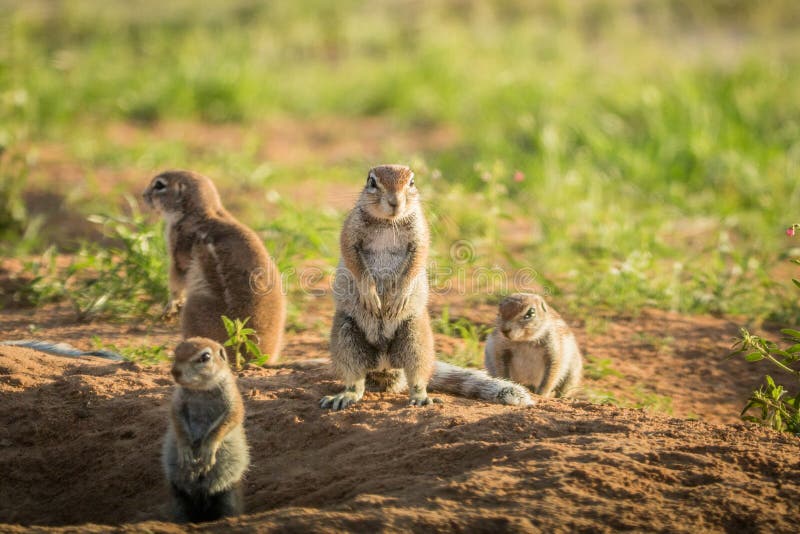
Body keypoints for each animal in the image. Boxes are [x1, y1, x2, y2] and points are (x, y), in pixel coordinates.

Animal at [143, 170, 286, 364]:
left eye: (159, 185)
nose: (143, 196)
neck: (202, 212)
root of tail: (249, 355)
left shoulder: (177, 246)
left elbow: (176, 280)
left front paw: (170, 307)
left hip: (194, 309)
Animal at [162, 337, 249, 523]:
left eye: (205, 357)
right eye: (177, 351)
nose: (174, 372)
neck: (200, 390)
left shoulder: (233, 401)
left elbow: (227, 422)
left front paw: (208, 449)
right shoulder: (177, 402)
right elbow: (177, 421)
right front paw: (185, 449)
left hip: (228, 495)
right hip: (178, 497)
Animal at [321, 165, 533, 410]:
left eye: (411, 182)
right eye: (372, 182)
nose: (395, 202)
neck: (388, 222)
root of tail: (385, 363)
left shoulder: (420, 235)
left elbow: (416, 261)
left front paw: (398, 296)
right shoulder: (350, 232)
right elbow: (353, 260)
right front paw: (371, 295)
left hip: (416, 335)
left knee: (418, 373)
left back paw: (421, 396)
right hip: (345, 336)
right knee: (355, 378)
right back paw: (346, 395)